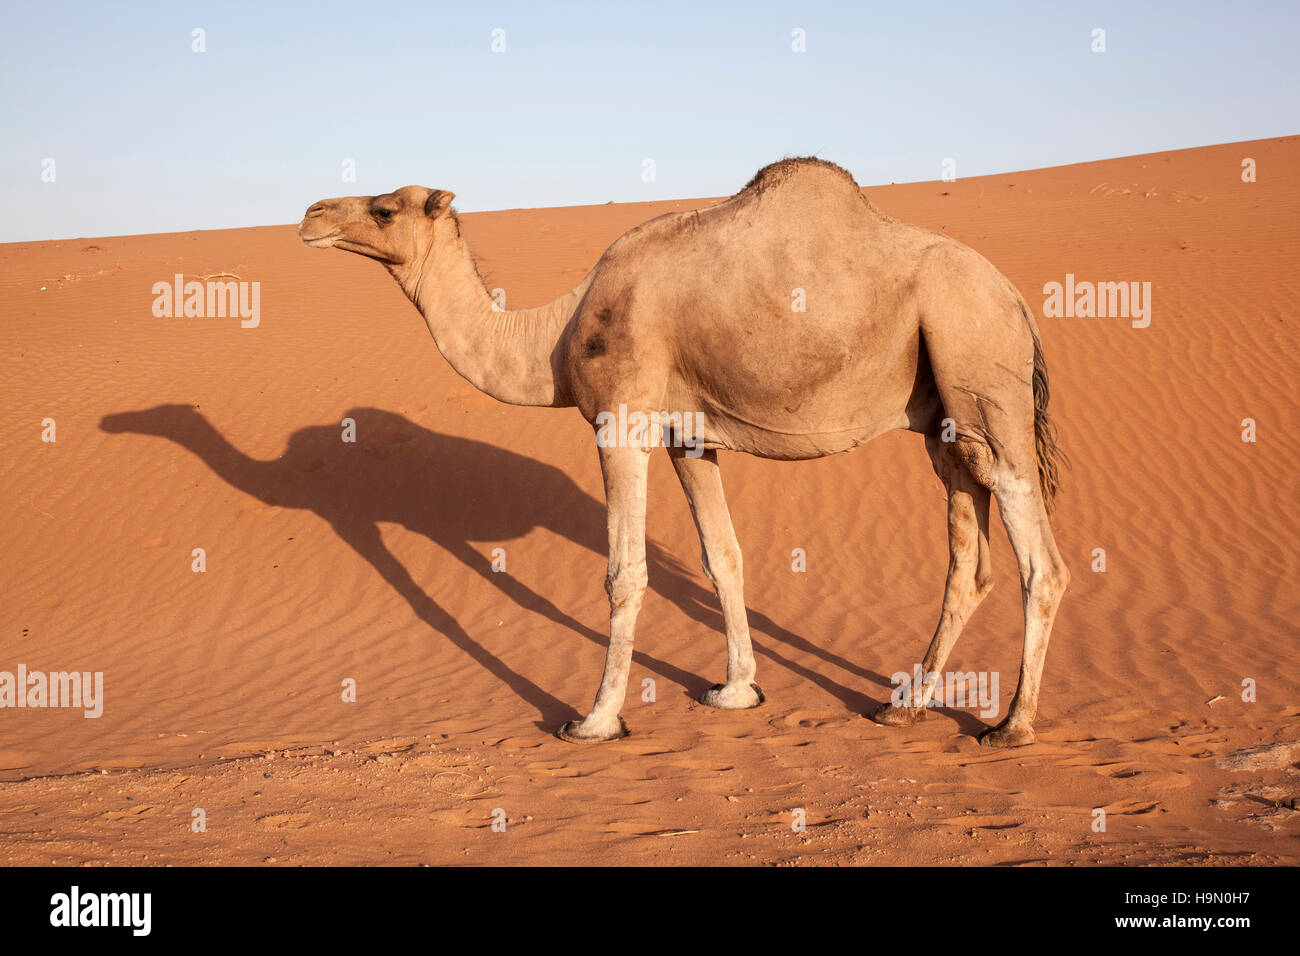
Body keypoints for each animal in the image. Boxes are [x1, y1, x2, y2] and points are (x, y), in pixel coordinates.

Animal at [298, 157, 1070, 747]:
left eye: (384, 209)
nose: (310, 214)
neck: (556, 334)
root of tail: (1018, 301)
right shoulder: (688, 437)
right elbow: (721, 556)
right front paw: (737, 690)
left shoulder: (620, 422)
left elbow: (625, 573)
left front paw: (595, 720)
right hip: (947, 422)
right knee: (968, 560)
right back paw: (900, 706)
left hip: (980, 369)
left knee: (1044, 563)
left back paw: (1011, 725)